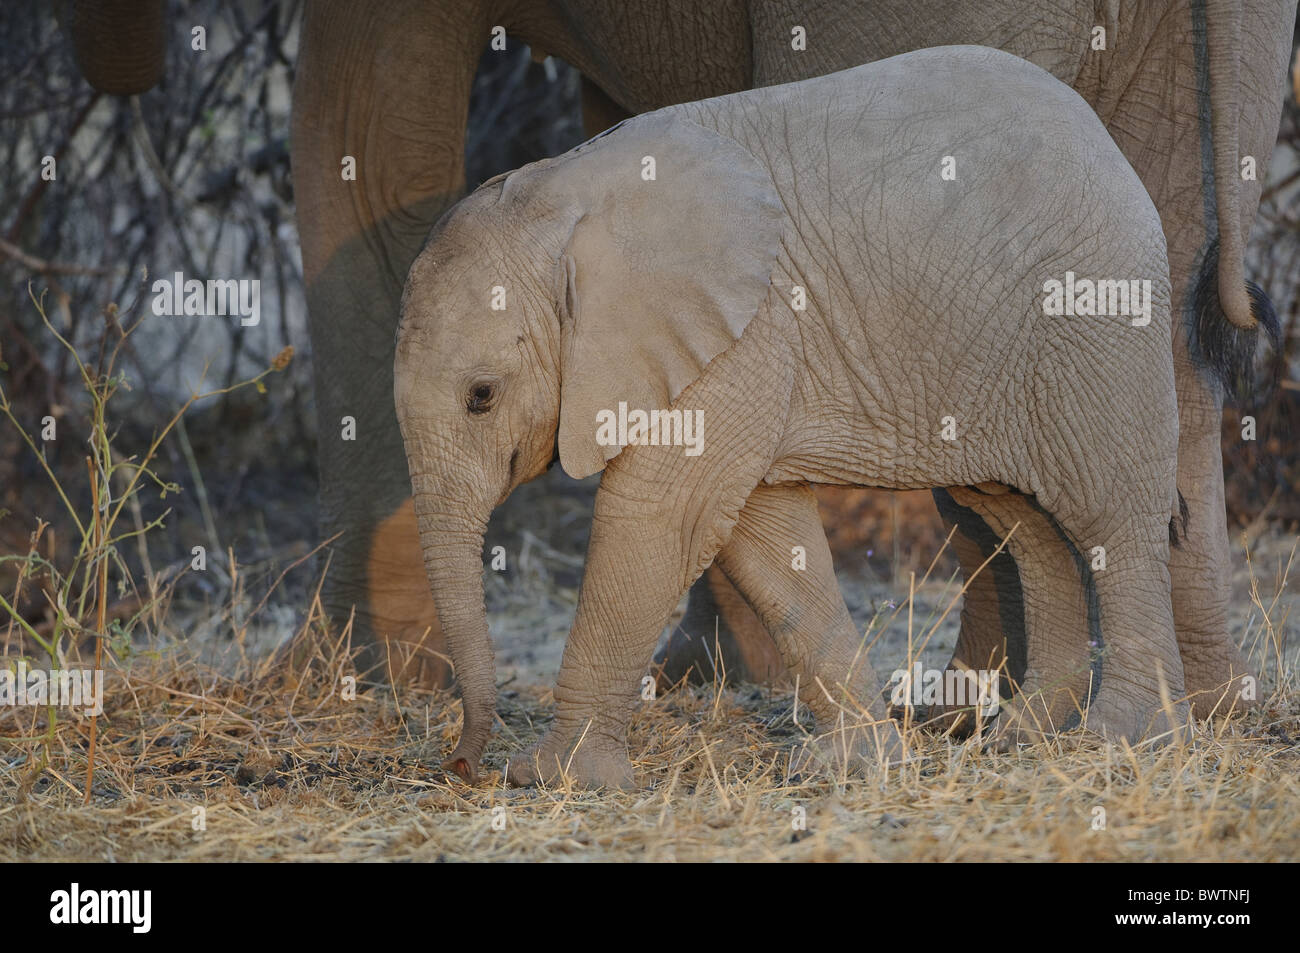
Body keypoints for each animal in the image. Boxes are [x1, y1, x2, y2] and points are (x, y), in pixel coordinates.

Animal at [394, 46, 1190, 789]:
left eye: (481, 395)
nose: (462, 764)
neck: (557, 192)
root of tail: (1104, 141)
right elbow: (762, 534)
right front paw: (856, 763)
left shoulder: (742, 333)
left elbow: (660, 515)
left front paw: (553, 777)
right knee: (1021, 517)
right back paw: (1024, 738)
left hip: (1095, 316)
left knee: (1110, 514)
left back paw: (1120, 739)